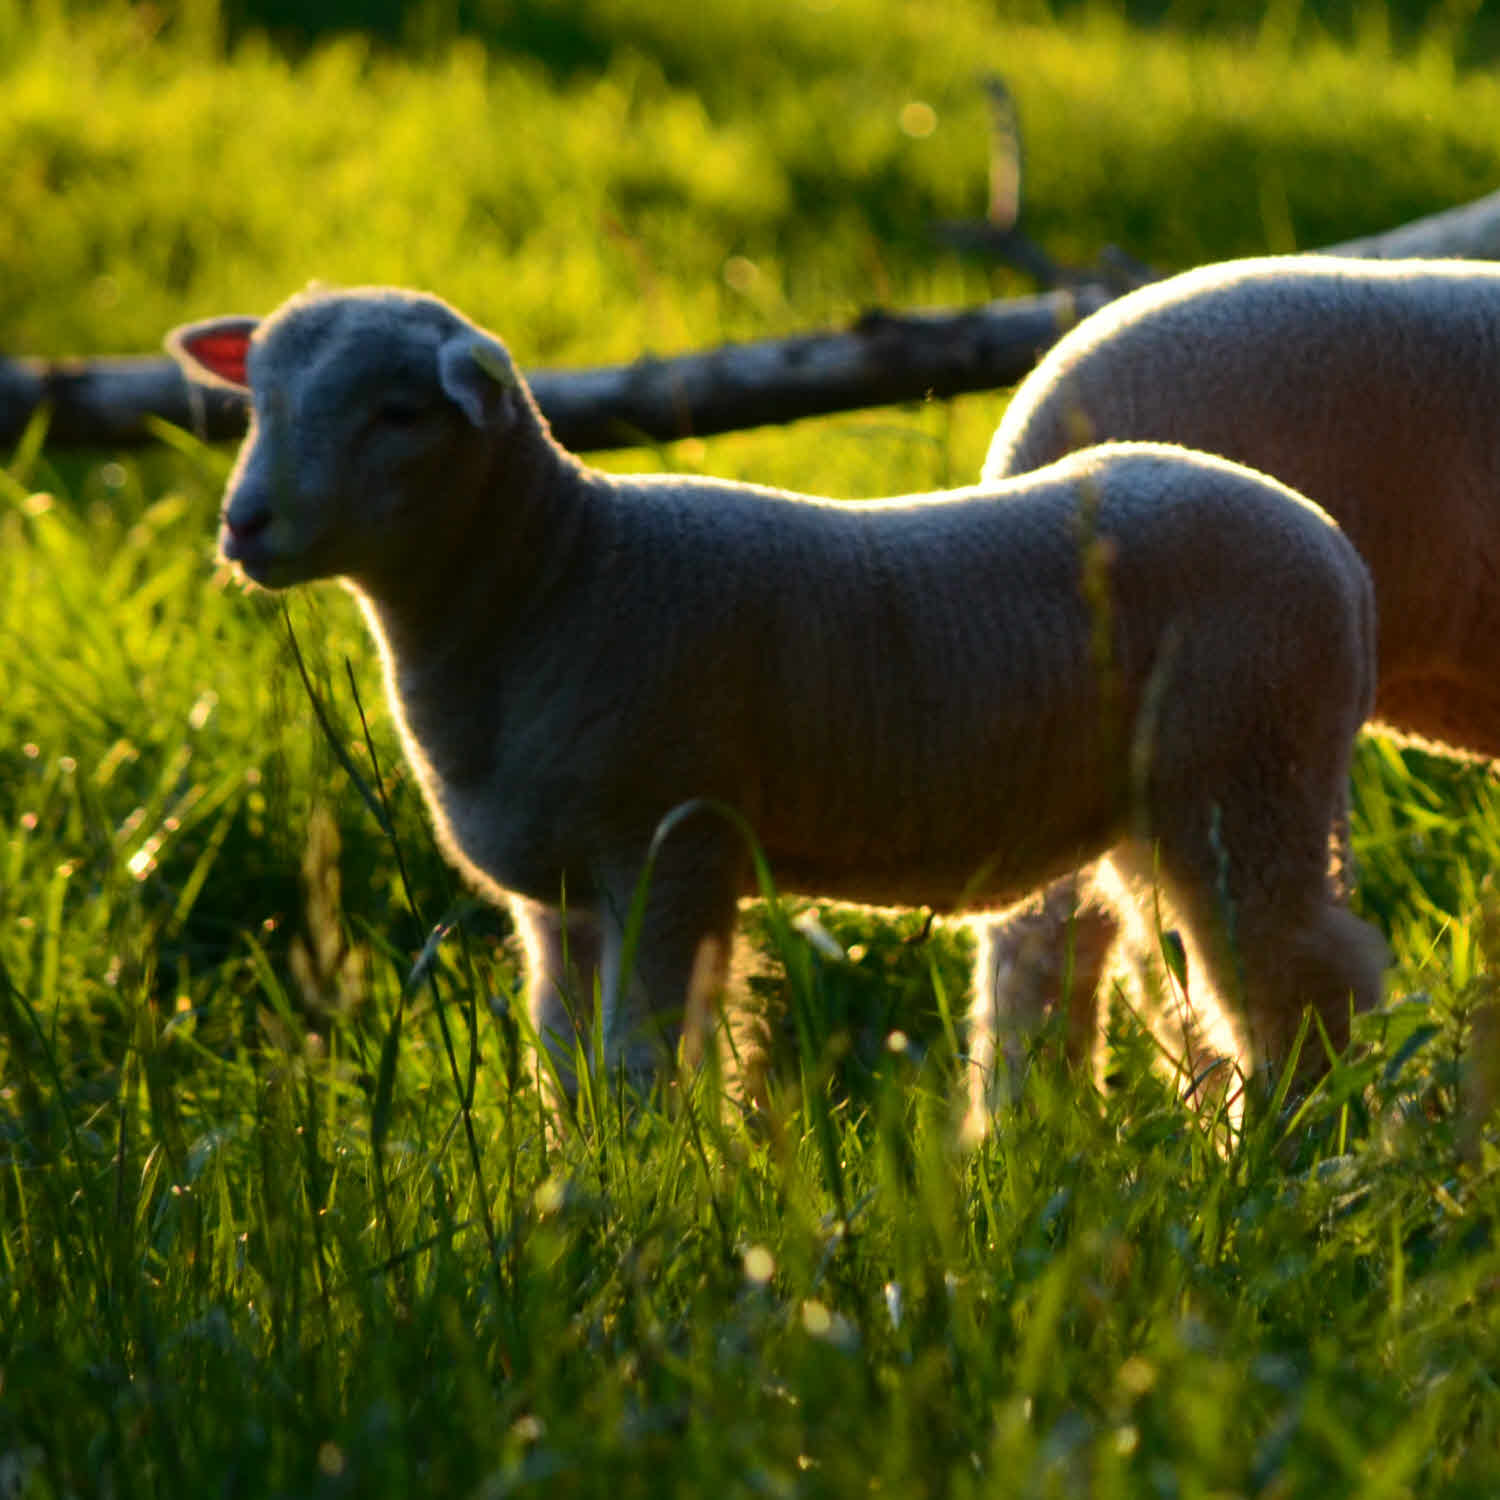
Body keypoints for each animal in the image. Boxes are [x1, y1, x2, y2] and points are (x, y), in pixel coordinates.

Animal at [167, 285, 1385, 1127]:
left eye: (397, 412)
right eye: (255, 404)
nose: (246, 524)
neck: (553, 578)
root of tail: (1334, 552)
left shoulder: (673, 848)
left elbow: (644, 1062)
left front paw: (648, 1195)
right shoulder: (559, 896)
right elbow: (567, 1068)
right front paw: (580, 1188)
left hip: (1244, 769)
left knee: (1302, 982)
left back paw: (1290, 1163)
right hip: (1173, 801)